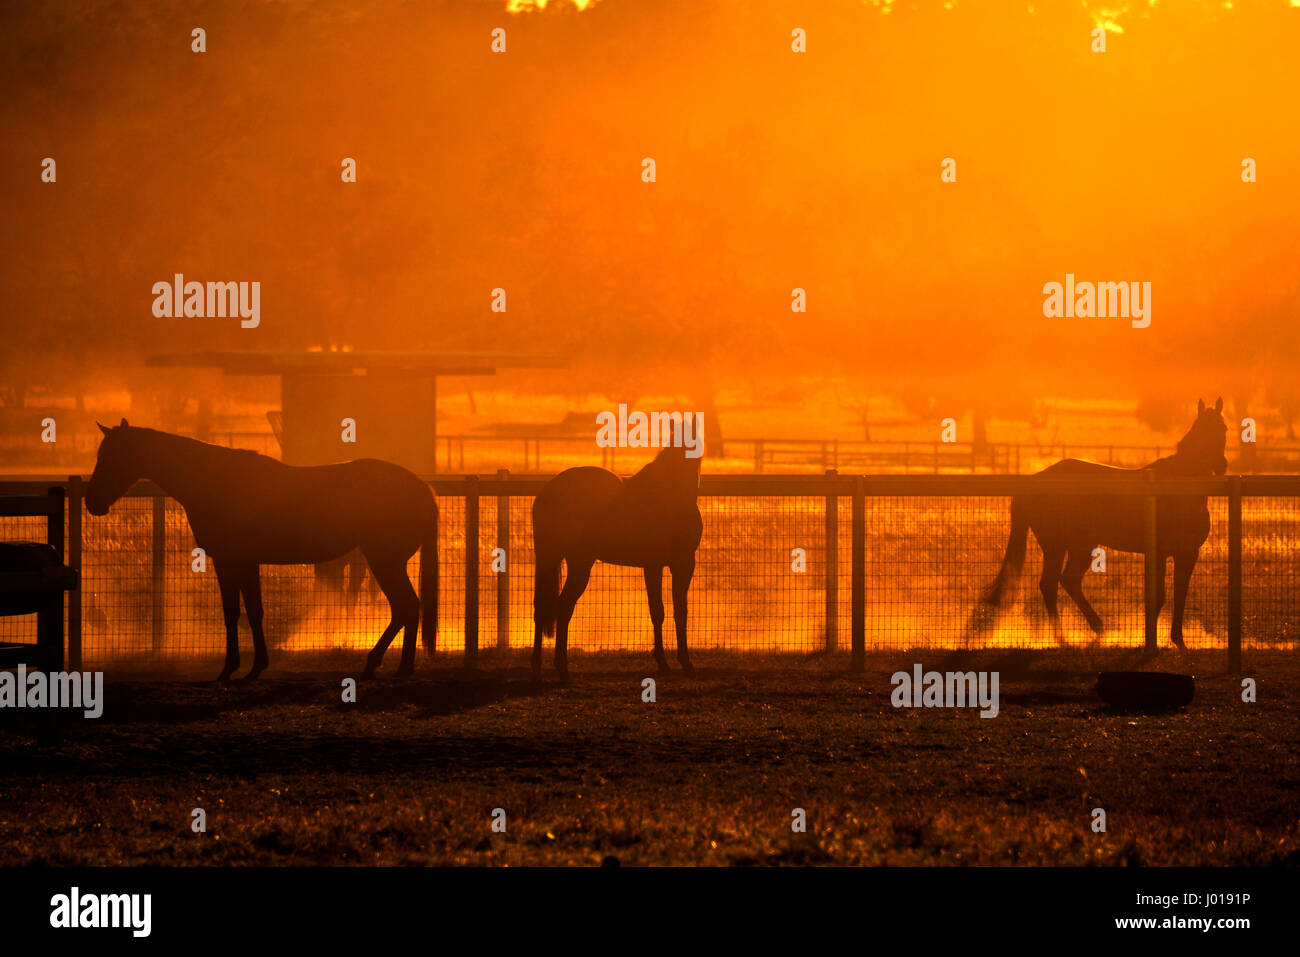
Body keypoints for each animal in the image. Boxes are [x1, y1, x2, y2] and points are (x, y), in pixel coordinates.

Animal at [85, 420, 438, 681]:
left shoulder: (230, 561)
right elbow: (252, 611)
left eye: (112, 457)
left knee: (407, 607)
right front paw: (255, 666)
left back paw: (389, 666)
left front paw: (231, 669)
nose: (92, 502)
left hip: (384, 561)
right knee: (406, 609)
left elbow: (234, 613)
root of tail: (422, 490)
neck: (213, 482)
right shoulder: (243, 563)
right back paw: (389, 665)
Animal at [532, 443, 703, 677]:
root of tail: (546, 492)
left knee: (544, 607)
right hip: (577, 563)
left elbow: (660, 611)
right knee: (563, 606)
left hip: (552, 559)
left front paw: (664, 662)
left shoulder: (656, 565)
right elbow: (675, 611)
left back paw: (541, 667)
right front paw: (682, 662)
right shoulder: (681, 564)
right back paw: (561, 668)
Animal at [980, 398, 1228, 648]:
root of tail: (1036, 480)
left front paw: (1174, 640)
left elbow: (1179, 593)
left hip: (1077, 546)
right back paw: (1066, 638)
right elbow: (1162, 596)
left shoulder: (1185, 553)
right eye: (1202, 430)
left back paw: (1093, 628)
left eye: (1223, 429)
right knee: (1051, 584)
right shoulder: (1164, 553)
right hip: (1061, 546)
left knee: (1066, 581)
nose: (1221, 466)